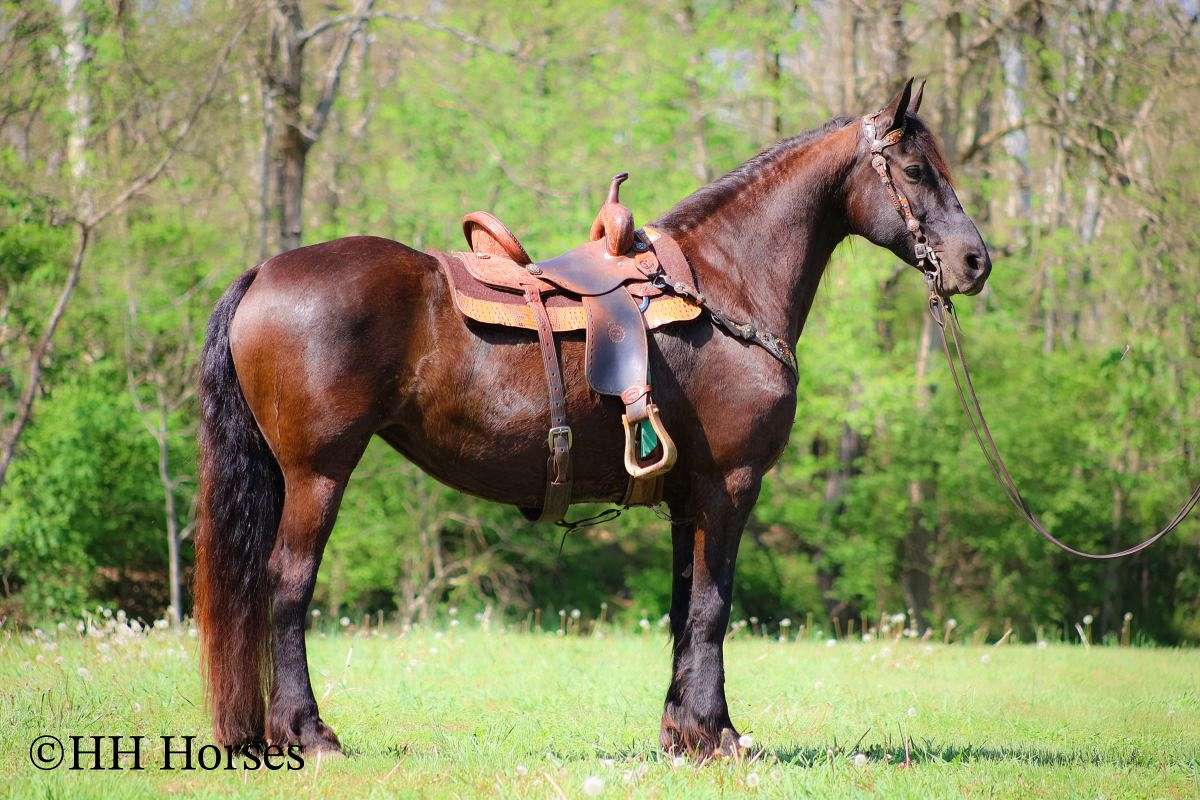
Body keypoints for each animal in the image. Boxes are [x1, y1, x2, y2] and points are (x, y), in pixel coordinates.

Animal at [194, 78, 991, 759]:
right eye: (915, 170)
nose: (975, 262)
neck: (724, 283)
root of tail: (264, 273)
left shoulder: (688, 497)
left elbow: (684, 607)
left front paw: (684, 734)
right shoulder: (729, 486)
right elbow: (714, 607)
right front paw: (718, 737)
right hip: (318, 473)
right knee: (287, 584)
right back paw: (308, 732)